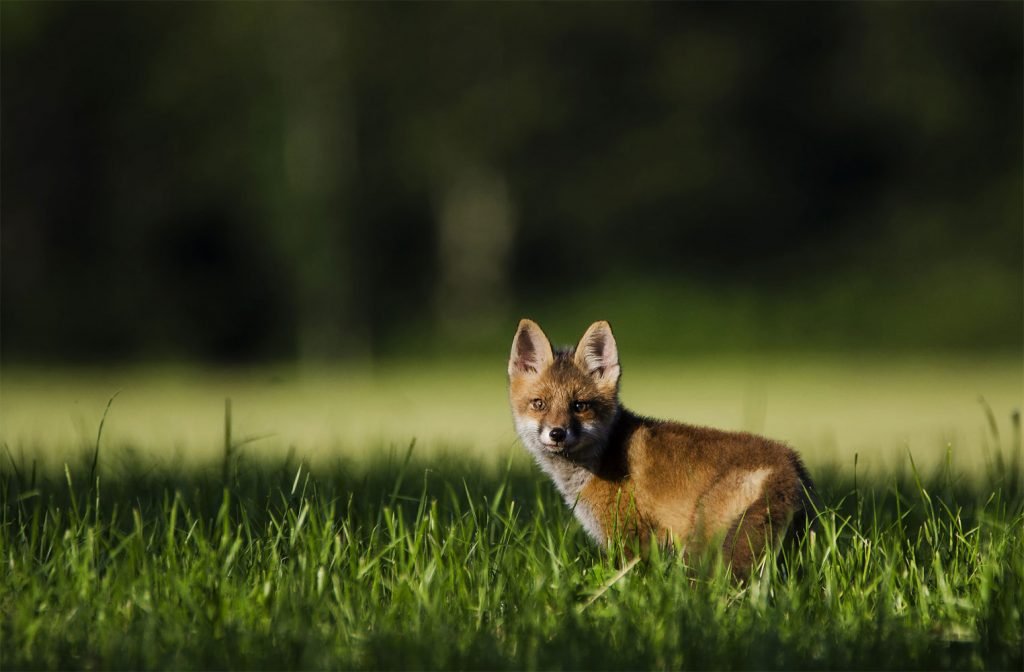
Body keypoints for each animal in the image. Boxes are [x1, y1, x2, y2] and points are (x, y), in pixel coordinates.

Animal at [508, 318, 816, 577]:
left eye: (579, 406)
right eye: (539, 404)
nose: (557, 433)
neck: (599, 460)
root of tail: (790, 463)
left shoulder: (631, 535)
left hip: (702, 540)